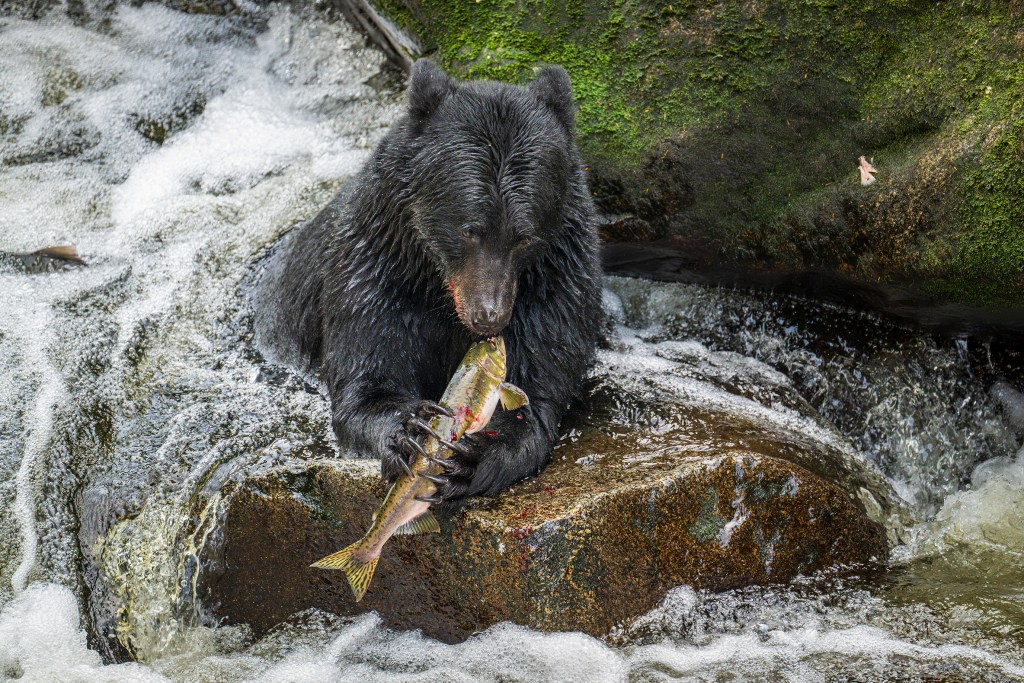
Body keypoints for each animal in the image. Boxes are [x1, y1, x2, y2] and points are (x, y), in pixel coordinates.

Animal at [265, 58, 603, 507]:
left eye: (523, 236)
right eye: (468, 230)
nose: (489, 315)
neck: (437, 286)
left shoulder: (556, 284)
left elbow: (537, 391)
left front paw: (471, 456)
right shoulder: (374, 275)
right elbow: (369, 378)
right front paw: (412, 430)